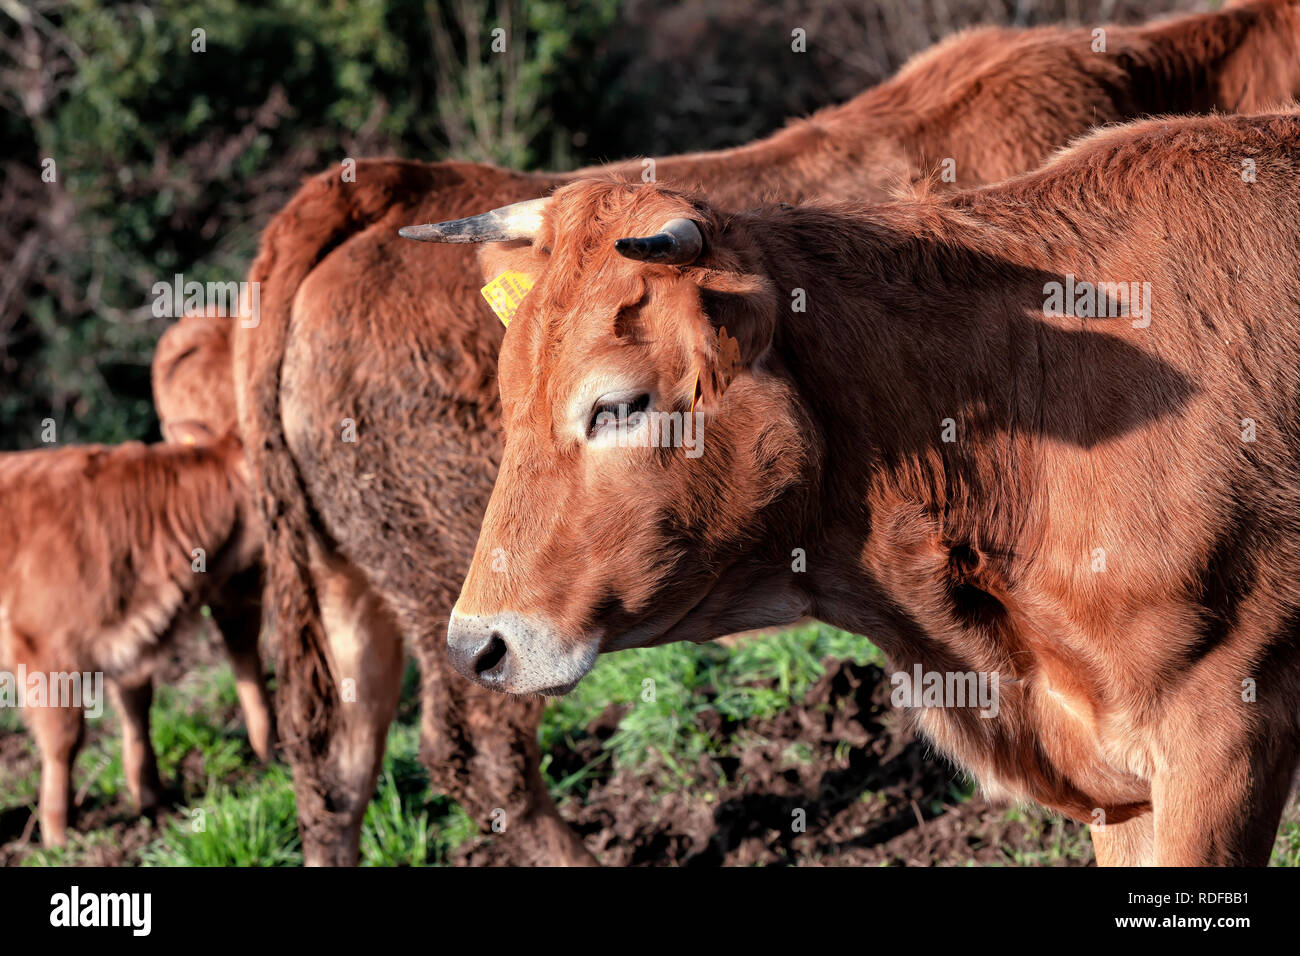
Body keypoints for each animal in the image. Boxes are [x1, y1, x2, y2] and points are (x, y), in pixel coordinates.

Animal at [0, 316, 271, 847]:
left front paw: (150, 796)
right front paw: (58, 833)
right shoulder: (43, 649)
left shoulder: (129, 639)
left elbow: (139, 703)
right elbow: (65, 738)